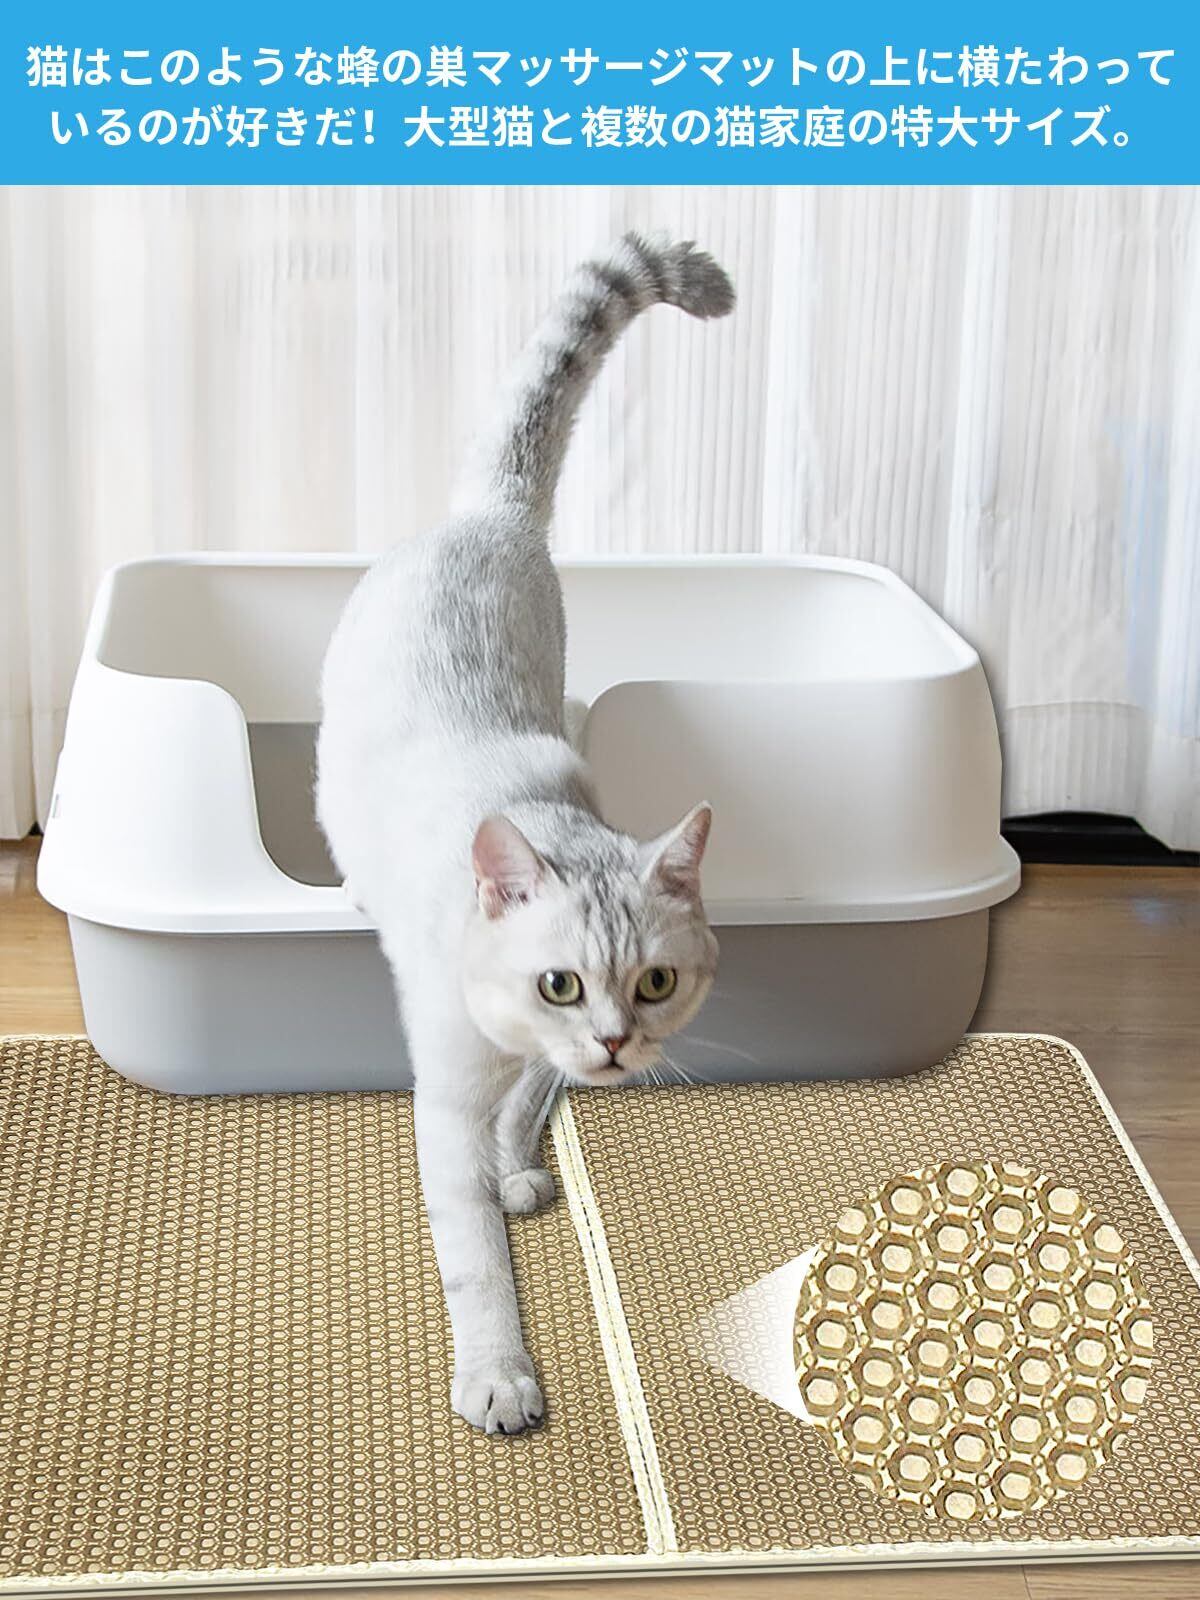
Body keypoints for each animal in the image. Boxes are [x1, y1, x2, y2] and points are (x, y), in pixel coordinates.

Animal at [316, 232, 733, 1434]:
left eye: (654, 985)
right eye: (561, 981)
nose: (616, 1043)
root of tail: (483, 517)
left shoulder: (531, 1077)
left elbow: (527, 1111)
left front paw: (520, 1168)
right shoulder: (445, 1099)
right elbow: (476, 1261)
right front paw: (499, 1377)